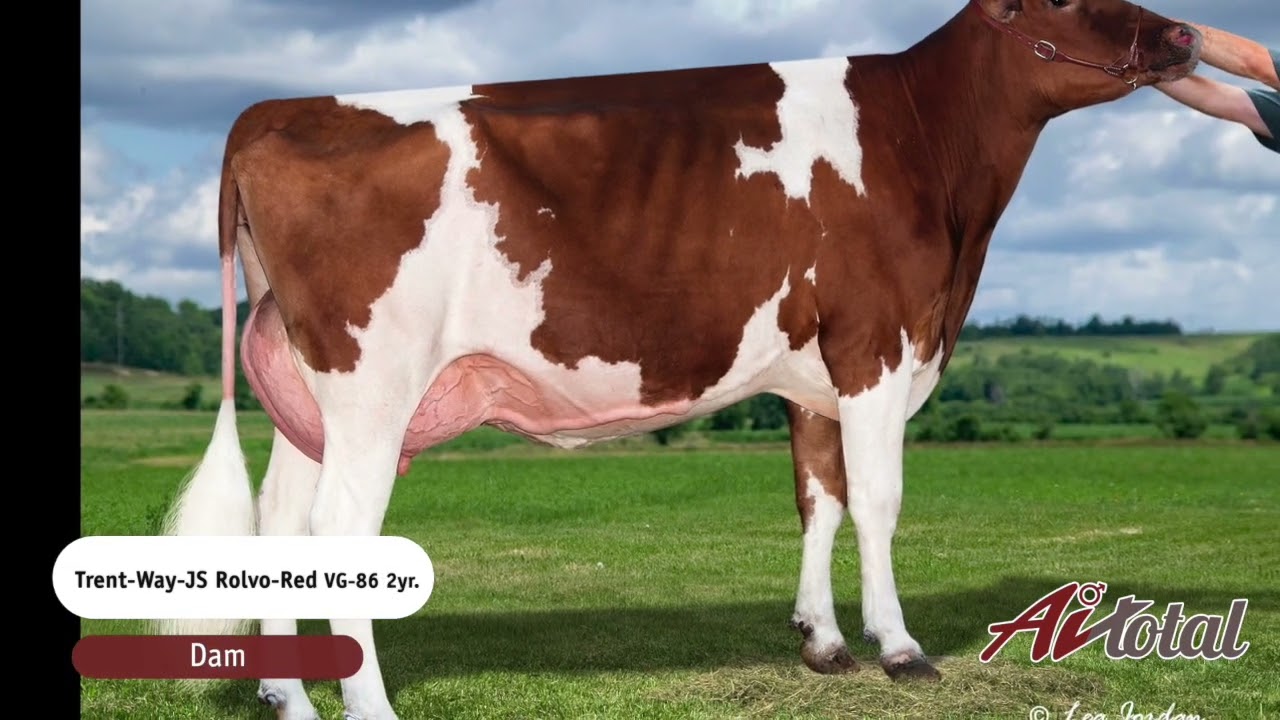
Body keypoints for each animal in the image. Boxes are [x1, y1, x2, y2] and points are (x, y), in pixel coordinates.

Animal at [154, 0, 1201, 717]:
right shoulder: (876, 342)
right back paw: (367, 705)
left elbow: (818, 499)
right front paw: (899, 646)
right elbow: (878, 499)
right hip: (374, 382)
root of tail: (272, 108)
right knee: (336, 529)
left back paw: (289, 696)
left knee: (282, 521)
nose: (1186, 36)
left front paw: (824, 640)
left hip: (310, 391)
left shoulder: (811, 372)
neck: (924, 149)